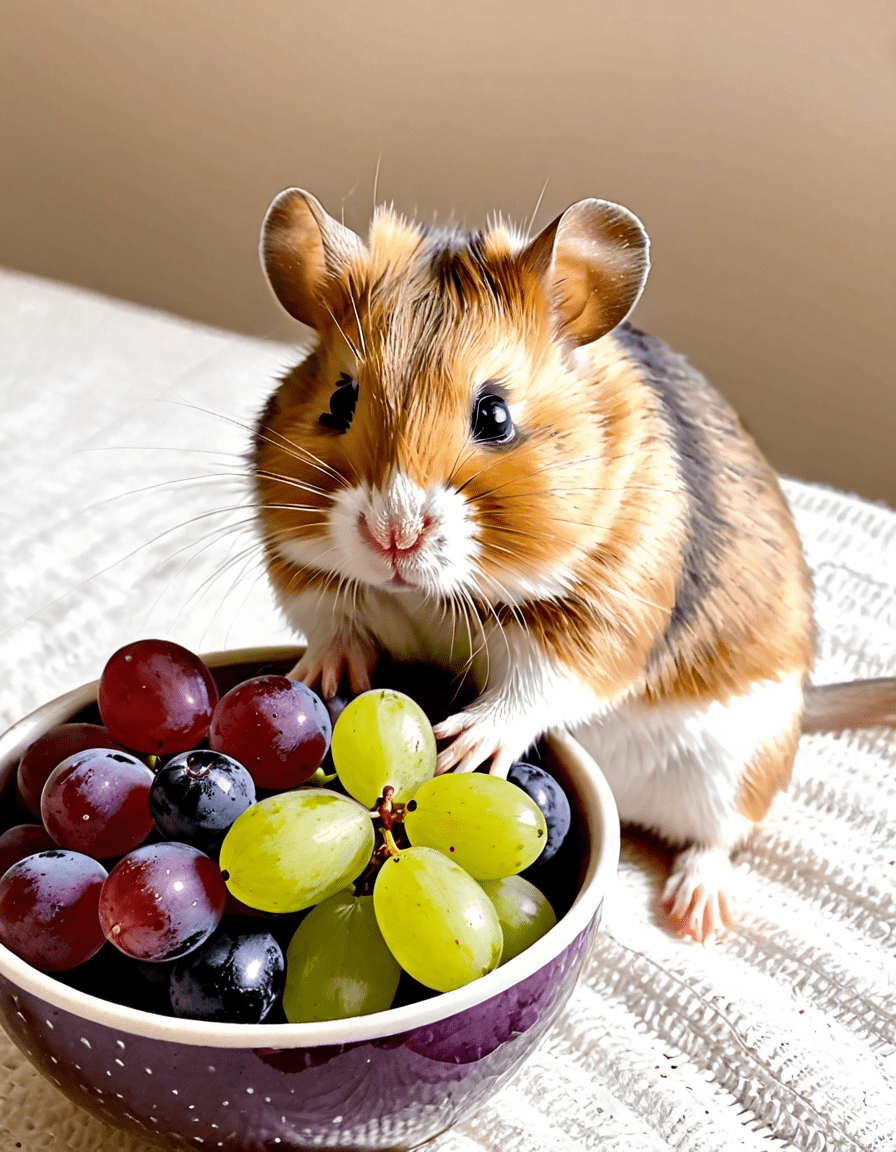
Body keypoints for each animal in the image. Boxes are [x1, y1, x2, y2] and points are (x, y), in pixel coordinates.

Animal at [252, 187, 896, 943]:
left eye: (495, 415)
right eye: (340, 399)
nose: (393, 539)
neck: (434, 594)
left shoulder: (608, 614)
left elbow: (538, 683)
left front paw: (464, 748)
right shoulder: (297, 563)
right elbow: (330, 620)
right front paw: (318, 677)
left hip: (737, 762)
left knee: (719, 838)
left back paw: (695, 916)